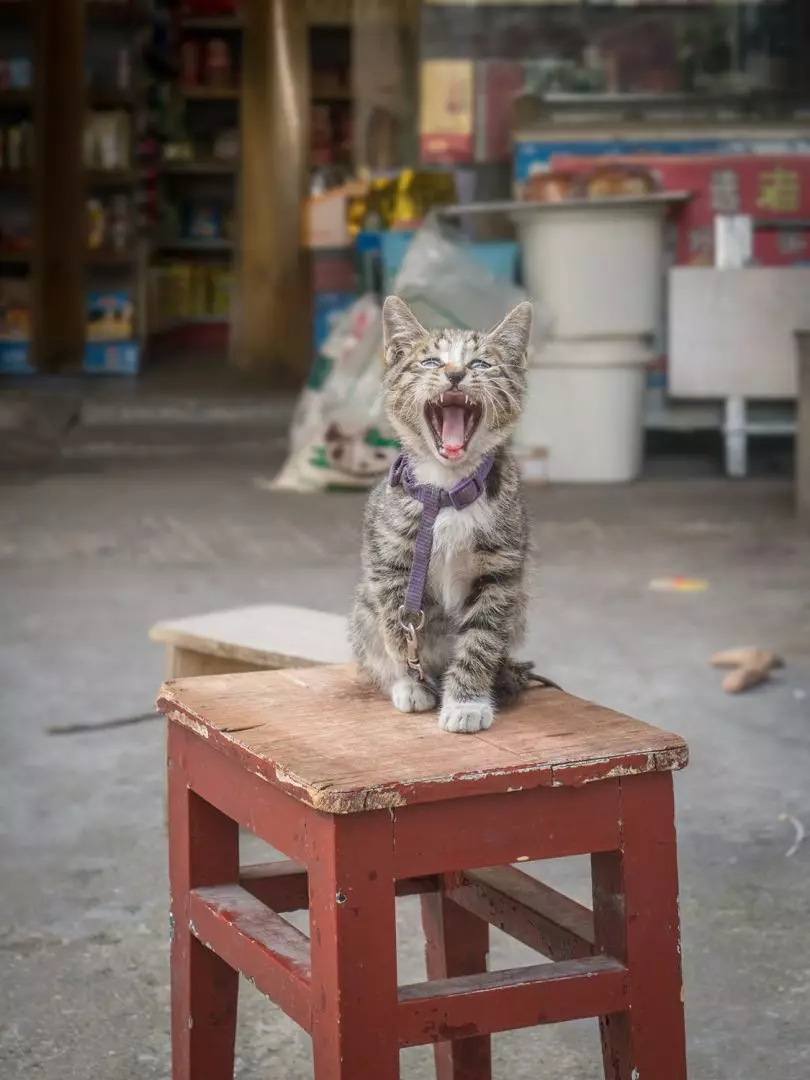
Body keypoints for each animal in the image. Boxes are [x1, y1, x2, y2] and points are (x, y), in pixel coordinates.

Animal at [349, 295, 535, 734]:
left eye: (480, 364)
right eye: (432, 361)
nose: (454, 372)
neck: (446, 491)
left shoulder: (501, 573)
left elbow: (482, 639)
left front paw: (467, 702)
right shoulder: (390, 559)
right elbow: (398, 625)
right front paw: (412, 676)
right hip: (361, 609)